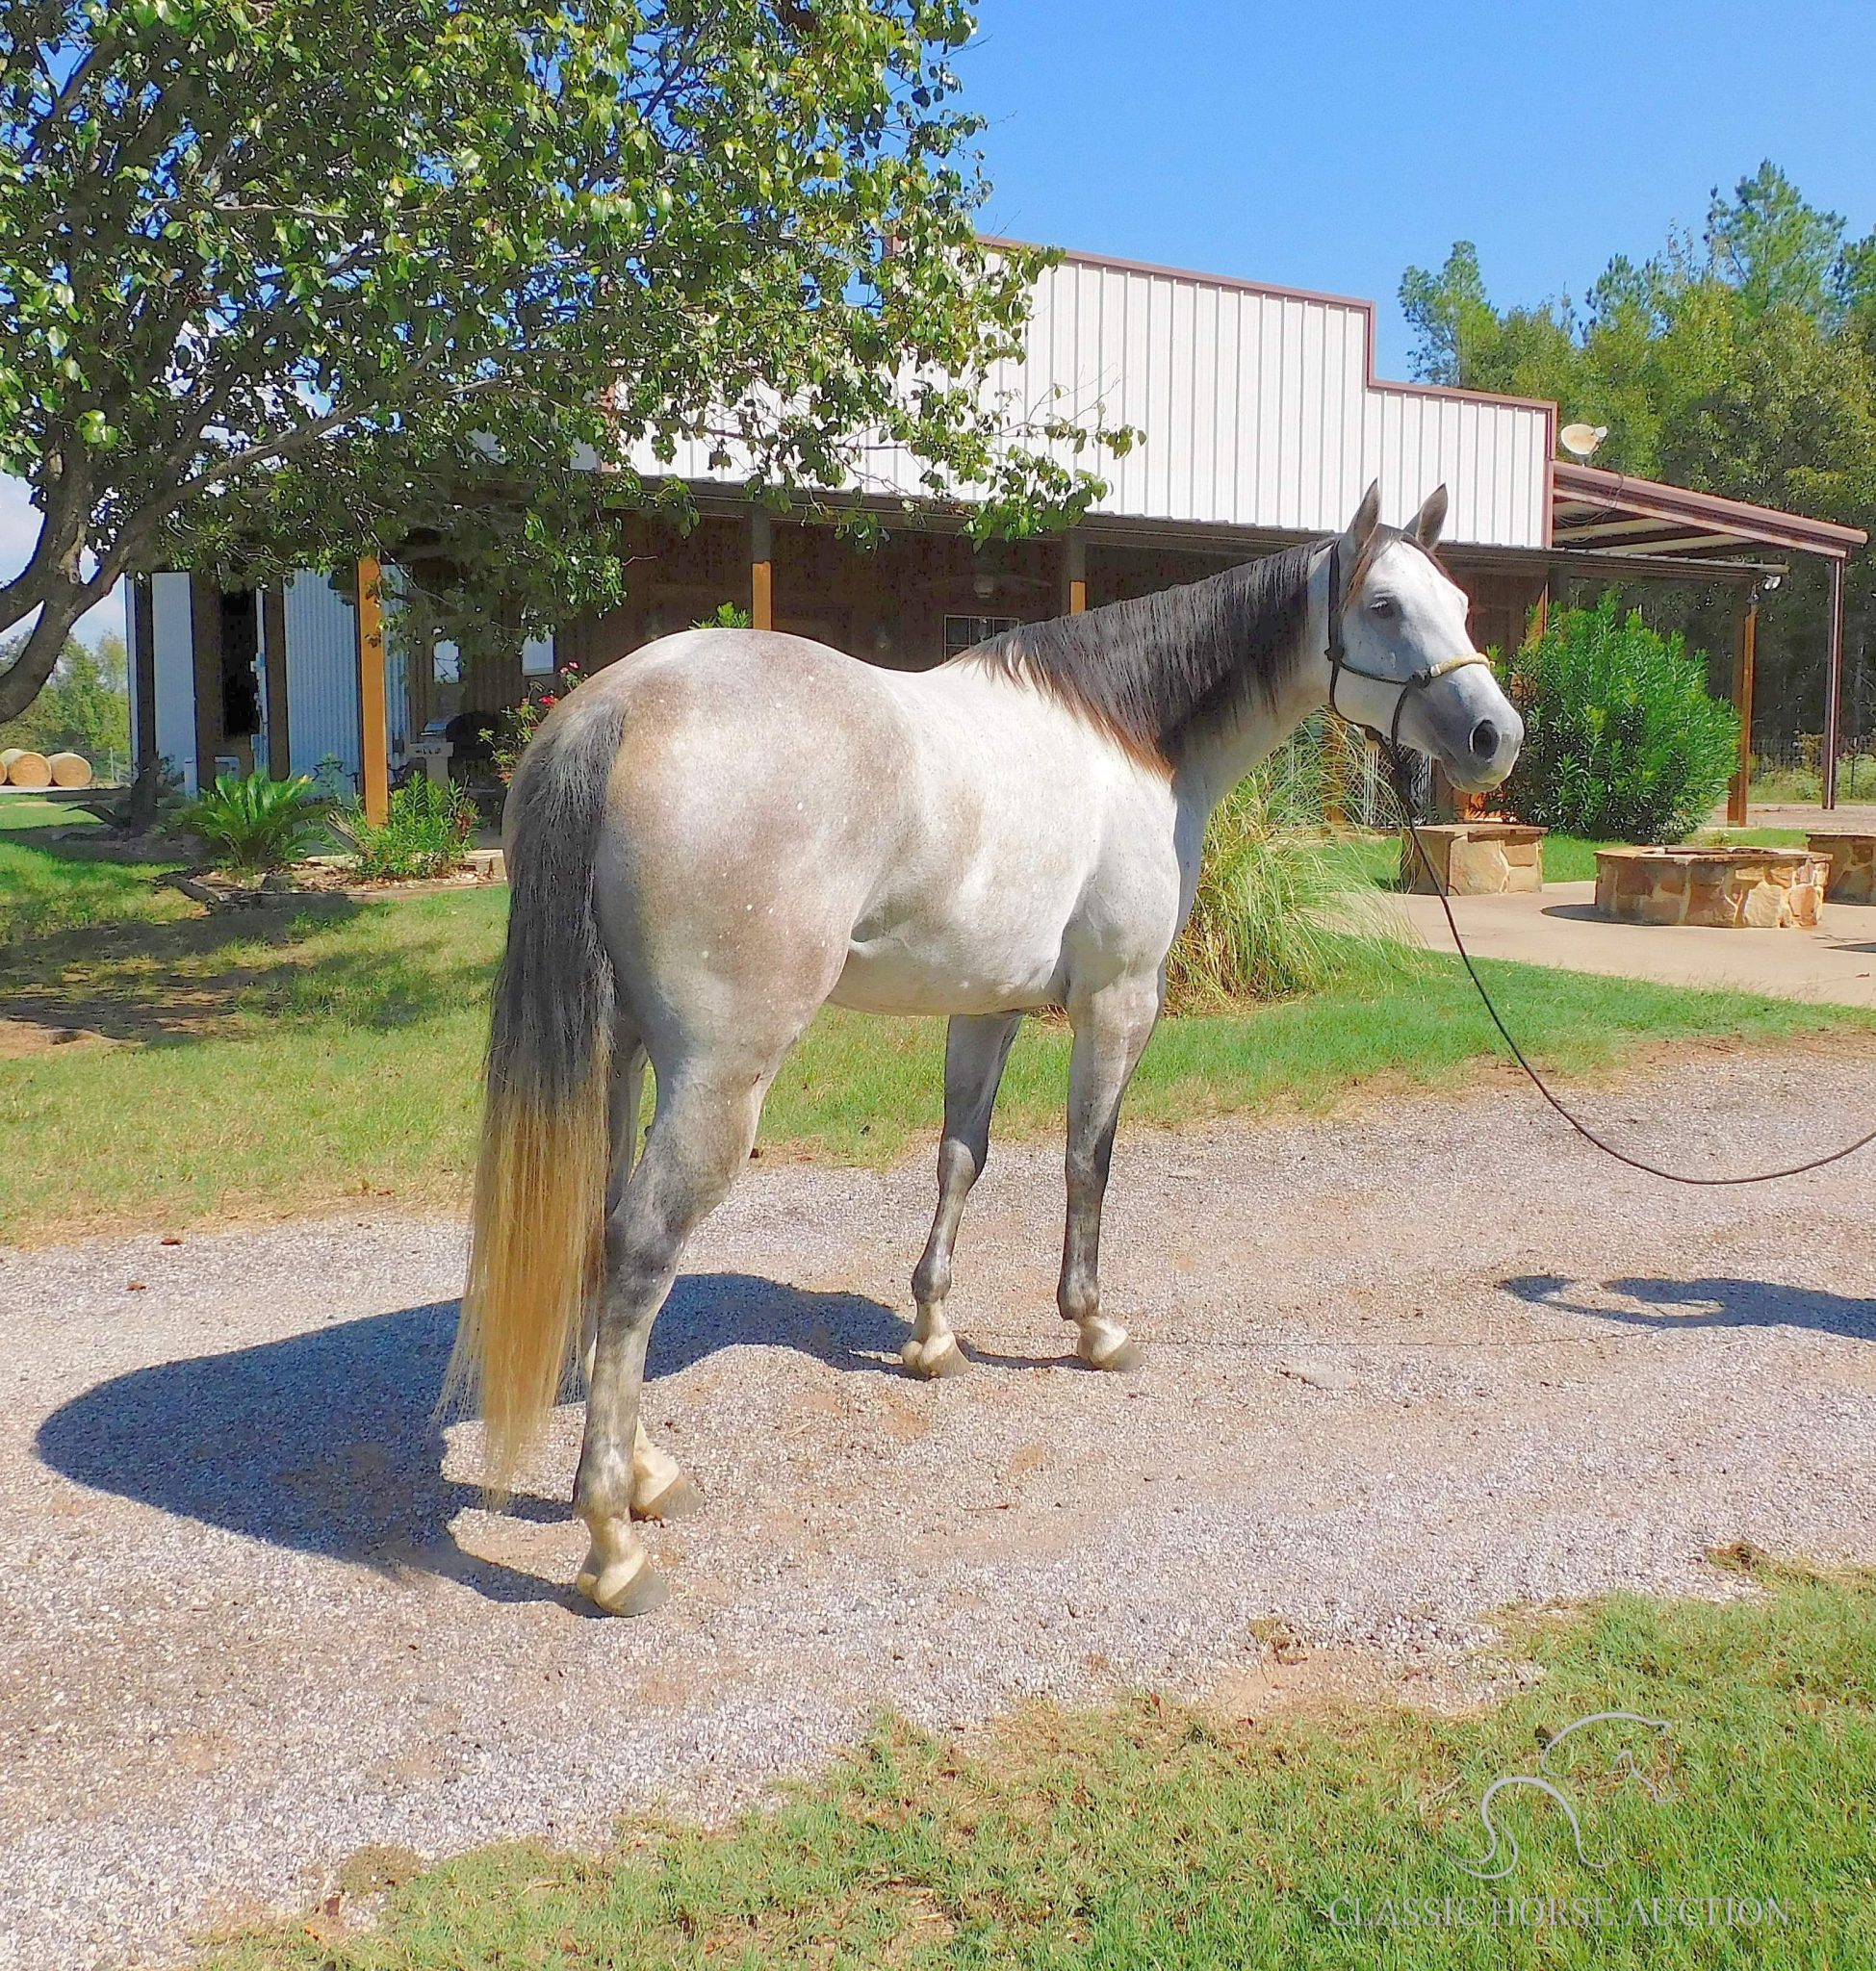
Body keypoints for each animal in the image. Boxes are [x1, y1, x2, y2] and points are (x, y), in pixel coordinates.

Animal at [446, 480, 1523, 1615]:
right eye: (1384, 606)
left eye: (1458, 600)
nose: (1493, 736)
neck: (1128, 738)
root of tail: (618, 707)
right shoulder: (1118, 1002)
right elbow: (1087, 1161)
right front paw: (1090, 1327)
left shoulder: (987, 1009)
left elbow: (960, 1158)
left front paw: (933, 1337)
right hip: (716, 1077)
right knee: (644, 1248)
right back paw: (611, 1540)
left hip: (619, 1055)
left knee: (604, 1237)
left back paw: (649, 1474)